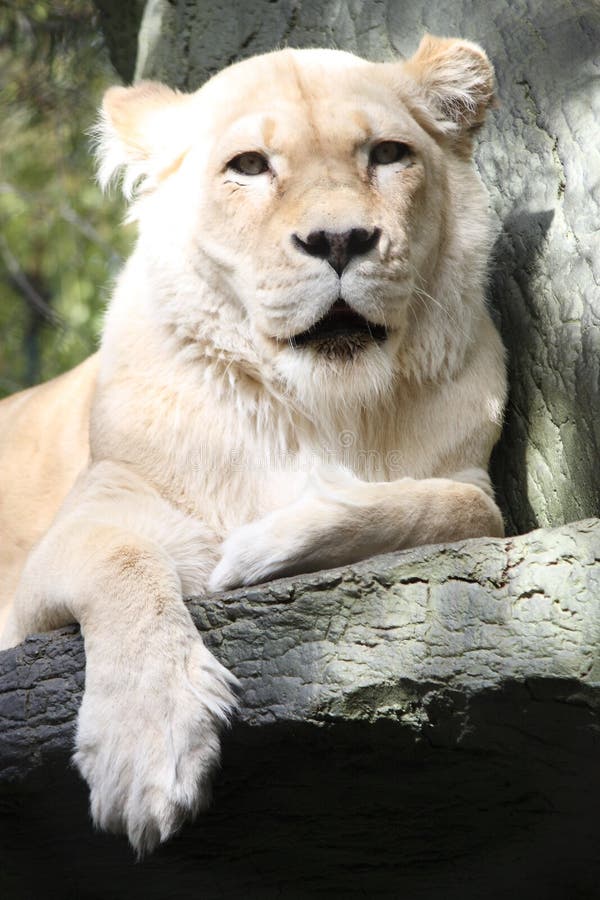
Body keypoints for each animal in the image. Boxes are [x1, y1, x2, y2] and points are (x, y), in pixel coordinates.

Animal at [0, 35, 506, 852]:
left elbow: (458, 509)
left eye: (388, 153)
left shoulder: (469, 474)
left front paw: (259, 549)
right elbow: (122, 558)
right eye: (249, 166)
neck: (319, 406)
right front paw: (149, 746)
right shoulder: (55, 560)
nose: (340, 240)